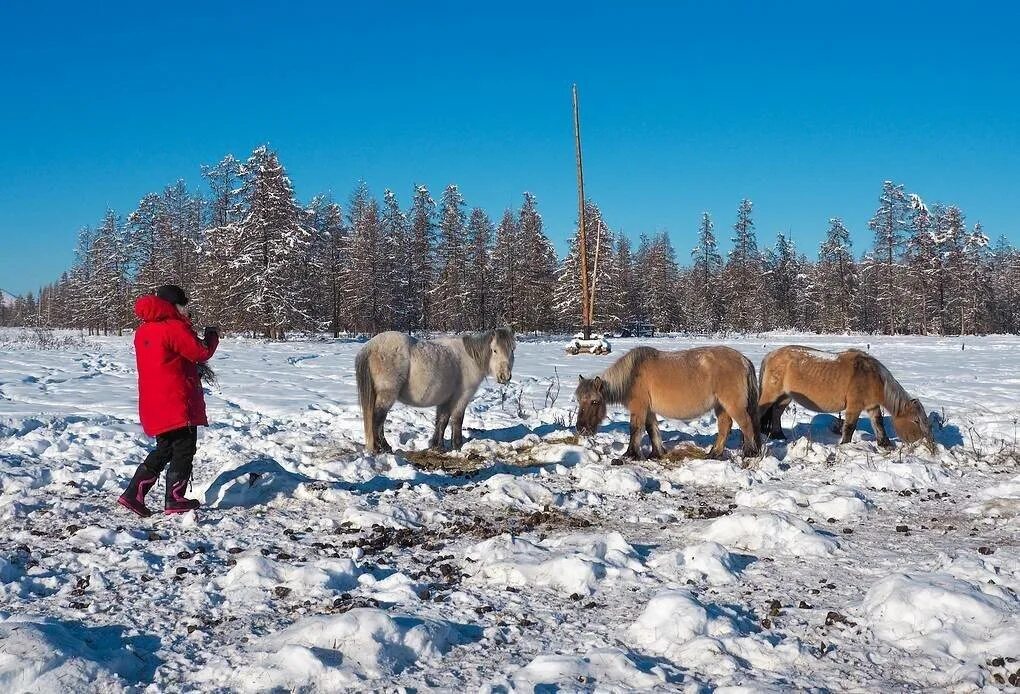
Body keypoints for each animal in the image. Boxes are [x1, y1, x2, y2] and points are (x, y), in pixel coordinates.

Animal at [359, 328, 518, 453]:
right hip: (387, 396)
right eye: (494, 350)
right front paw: (457, 445)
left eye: (512, 350)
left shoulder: (445, 399)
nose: (505, 377)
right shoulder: (461, 398)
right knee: (377, 419)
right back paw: (381, 448)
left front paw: (437, 445)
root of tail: (371, 346)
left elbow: (442, 421)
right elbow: (457, 420)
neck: (470, 359)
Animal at [579, 344, 762, 461]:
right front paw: (657, 453)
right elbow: (652, 430)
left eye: (594, 401)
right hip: (721, 406)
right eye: (579, 400)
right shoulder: (649, 410)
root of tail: (744, 360)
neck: (632, 375)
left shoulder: (639, 407)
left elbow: (635, 429)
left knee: (746, 425)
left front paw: (630, 454)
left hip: (733, 405)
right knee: (725, 427)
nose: (581, 429)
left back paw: (749, 454)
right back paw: (714, 454)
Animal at [758, 344, 934, 449]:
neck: (870, 376)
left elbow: (878, 423)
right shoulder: (854, 406)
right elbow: (849, 427)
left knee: (776, 413)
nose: (925, 444)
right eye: (916, 421)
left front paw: (885, 444)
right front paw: (844, 445)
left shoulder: (872, 406)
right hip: (770, 395)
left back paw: (779, 435)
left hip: (785, 397)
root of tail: (771, 354)